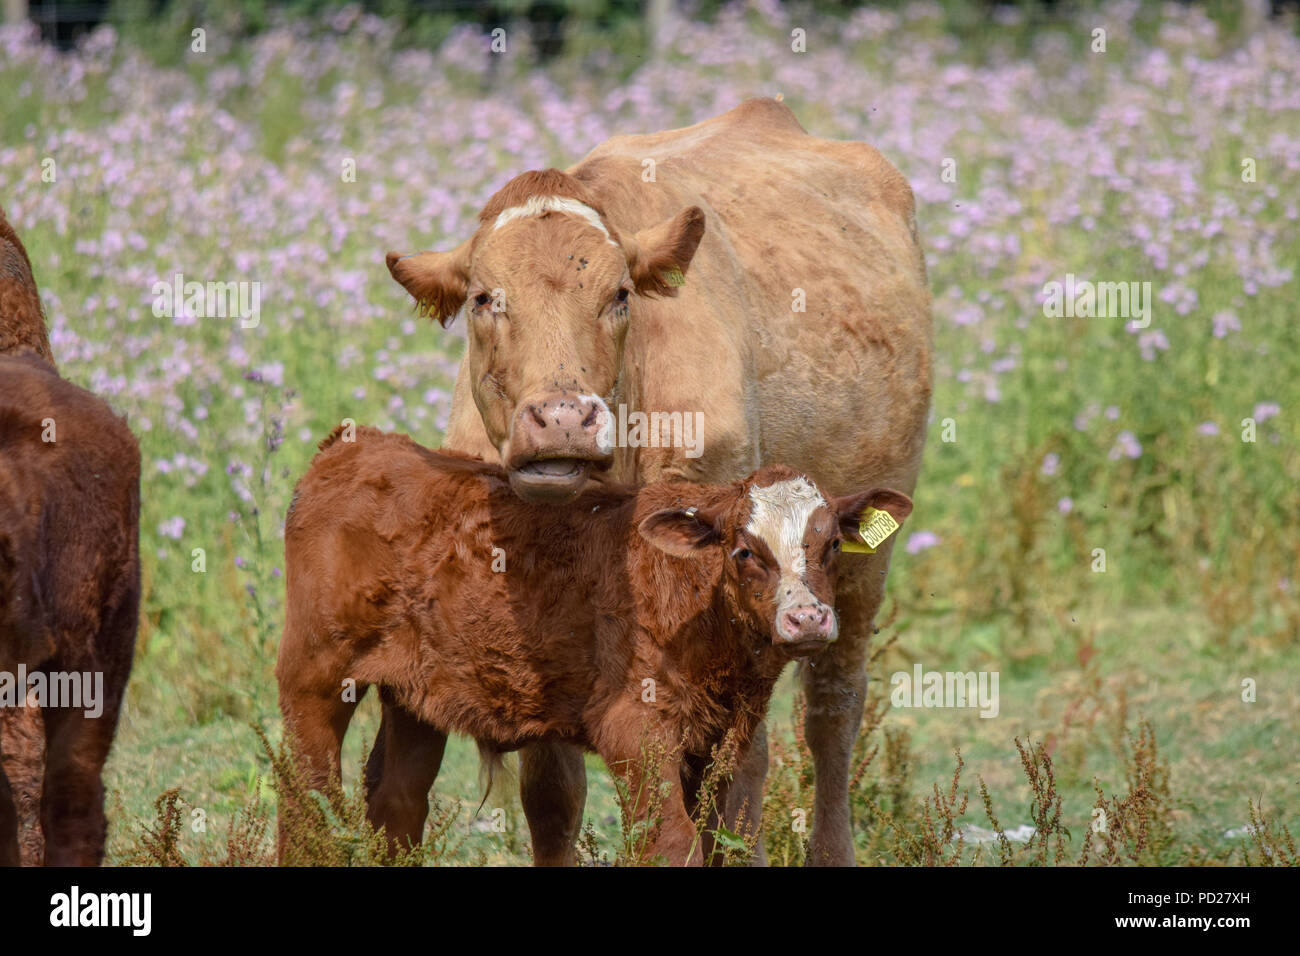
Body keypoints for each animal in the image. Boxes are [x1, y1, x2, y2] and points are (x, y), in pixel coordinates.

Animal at [275, 424, 912, 865]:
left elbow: (712, 836)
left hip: (417, 695)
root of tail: (358, 444)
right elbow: (672, 842)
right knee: (307, 804)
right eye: (744, 551)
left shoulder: (719, 740)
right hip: (314, 674)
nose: (808, 619)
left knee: (397, 806)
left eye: (831, 545)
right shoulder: (632, 726)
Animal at [382, 97, 932, 865]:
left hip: (858, 568)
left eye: (619, 295)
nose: (562, 418)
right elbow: (553, 793)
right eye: (486, 297)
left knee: (831, 717)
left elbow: (738, 774)